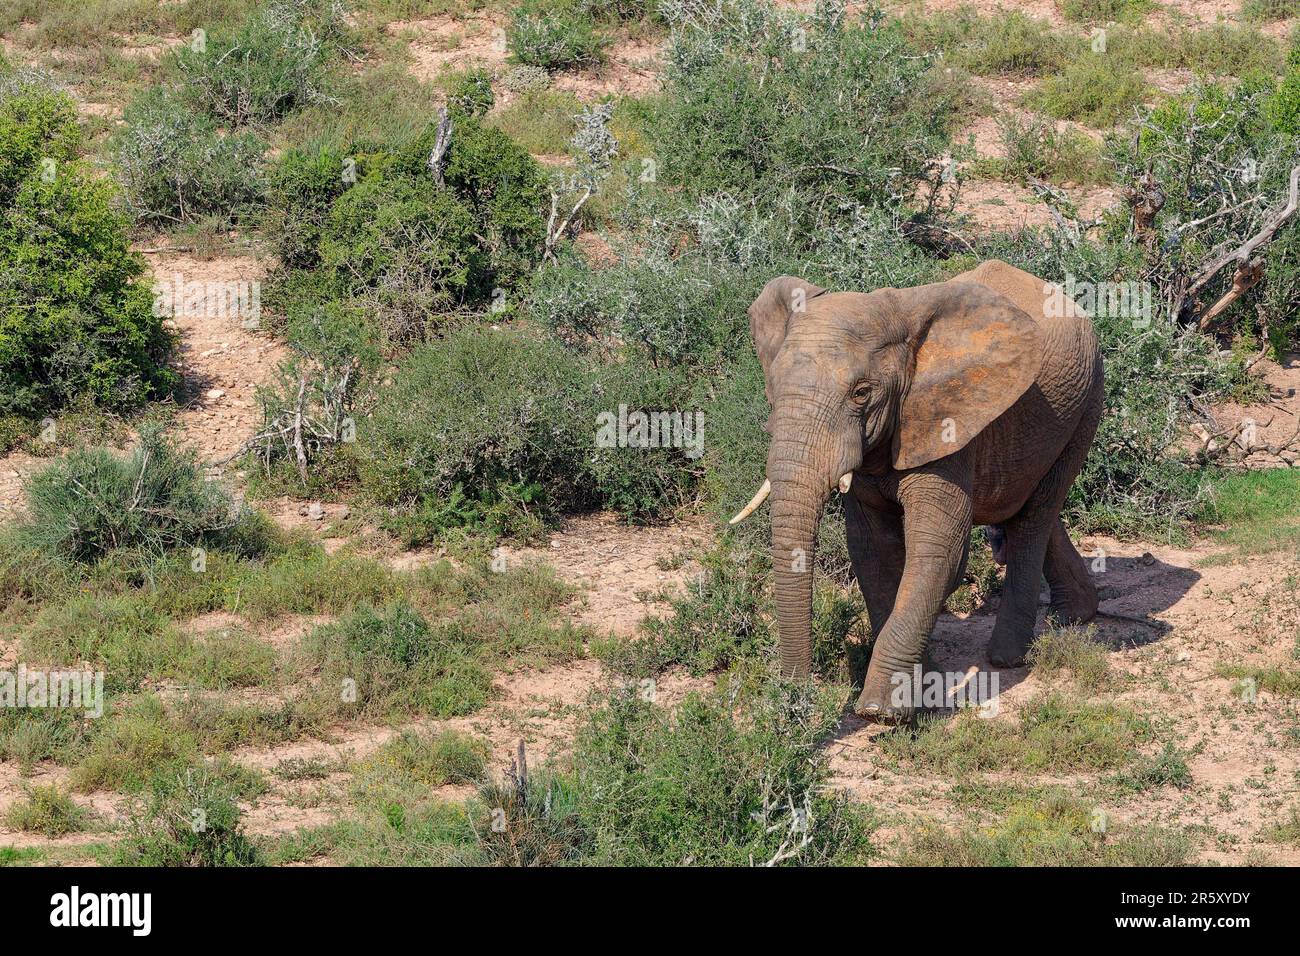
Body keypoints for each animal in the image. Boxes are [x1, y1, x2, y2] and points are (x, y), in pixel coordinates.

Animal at [729, 259, 1103, 723]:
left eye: (861, 392)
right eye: (774, 387)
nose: (795, 694)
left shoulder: (948, 421)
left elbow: (937, 550)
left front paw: (882, 711)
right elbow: (872, 549)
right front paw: (926, 685)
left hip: (1087, 401)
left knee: (1036, 515)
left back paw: (1007, 656)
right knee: (1024, 508)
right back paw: (1077, 615)